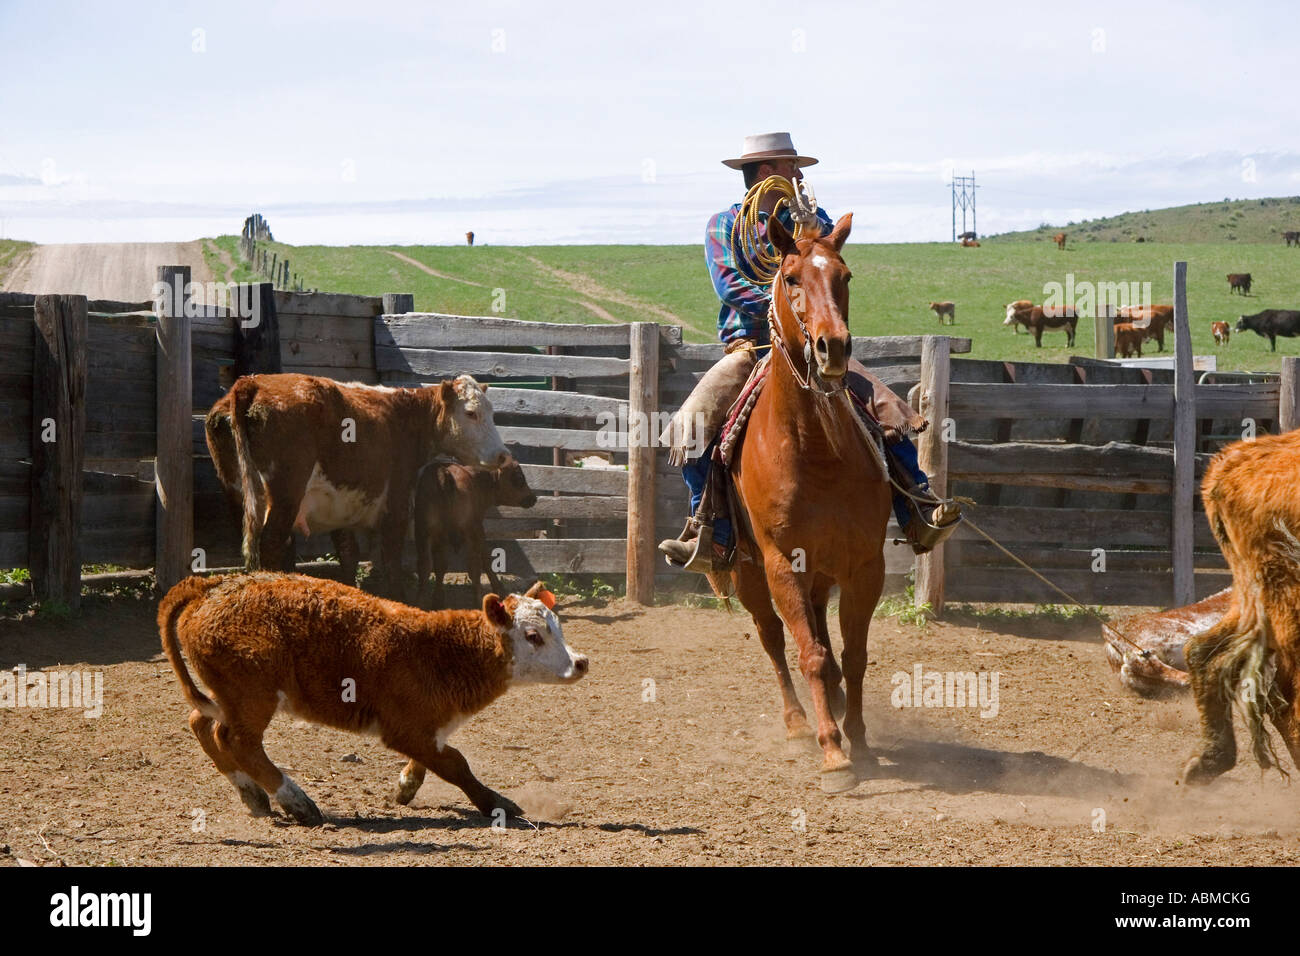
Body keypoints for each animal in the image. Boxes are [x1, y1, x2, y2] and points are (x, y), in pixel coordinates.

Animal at [160, 574, 587, 825]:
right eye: (533, 636)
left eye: (557, 626)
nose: (580, 662)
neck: (441, 651)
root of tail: (209, 587)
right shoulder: (403, 729)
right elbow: (455, 764)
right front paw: (495, 803)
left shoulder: (425, 728)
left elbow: (435, 757)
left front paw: (406, 786)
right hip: (252, 695)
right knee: (237, 741)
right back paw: (296, 802)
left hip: (226, 696)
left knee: (203, 724)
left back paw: (252, 795)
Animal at [205, 373, 509, 597]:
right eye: (471, 413)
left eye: (492, 412)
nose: (502, 454)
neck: (405, 415)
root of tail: (252, 383)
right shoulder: (396, 503)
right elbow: (391, 557)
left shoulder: (339, 508)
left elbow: (348, 554)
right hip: (284, 498)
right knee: (270, 544)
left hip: (239, 497)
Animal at [415, 458, 538, 609]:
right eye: (519, 478)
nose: (533, 498)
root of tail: (444, 471)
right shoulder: (479, 529)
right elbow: (486, 559)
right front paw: (499, 588)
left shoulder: (440, 538)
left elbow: (440, 565)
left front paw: (438, 600)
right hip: (471, 531)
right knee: (474, 567)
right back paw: (478, 602)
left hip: (423, 531)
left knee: (425, 565)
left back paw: (420, 604)